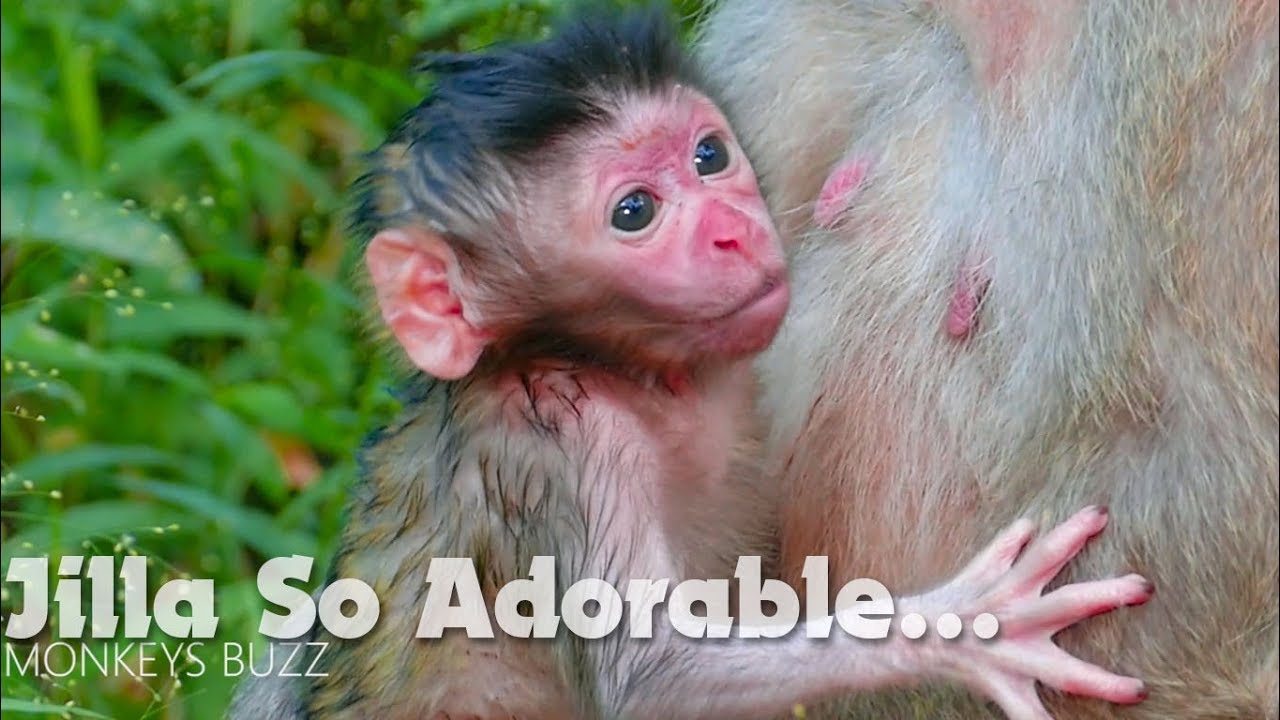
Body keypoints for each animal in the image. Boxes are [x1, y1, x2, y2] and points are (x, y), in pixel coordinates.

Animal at [229, 10, 1158, 720]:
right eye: (634, 212)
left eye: (710, 155)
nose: (733, 231)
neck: (629, 373)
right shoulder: (562, 447)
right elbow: (657, 677)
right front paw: (972, 628)